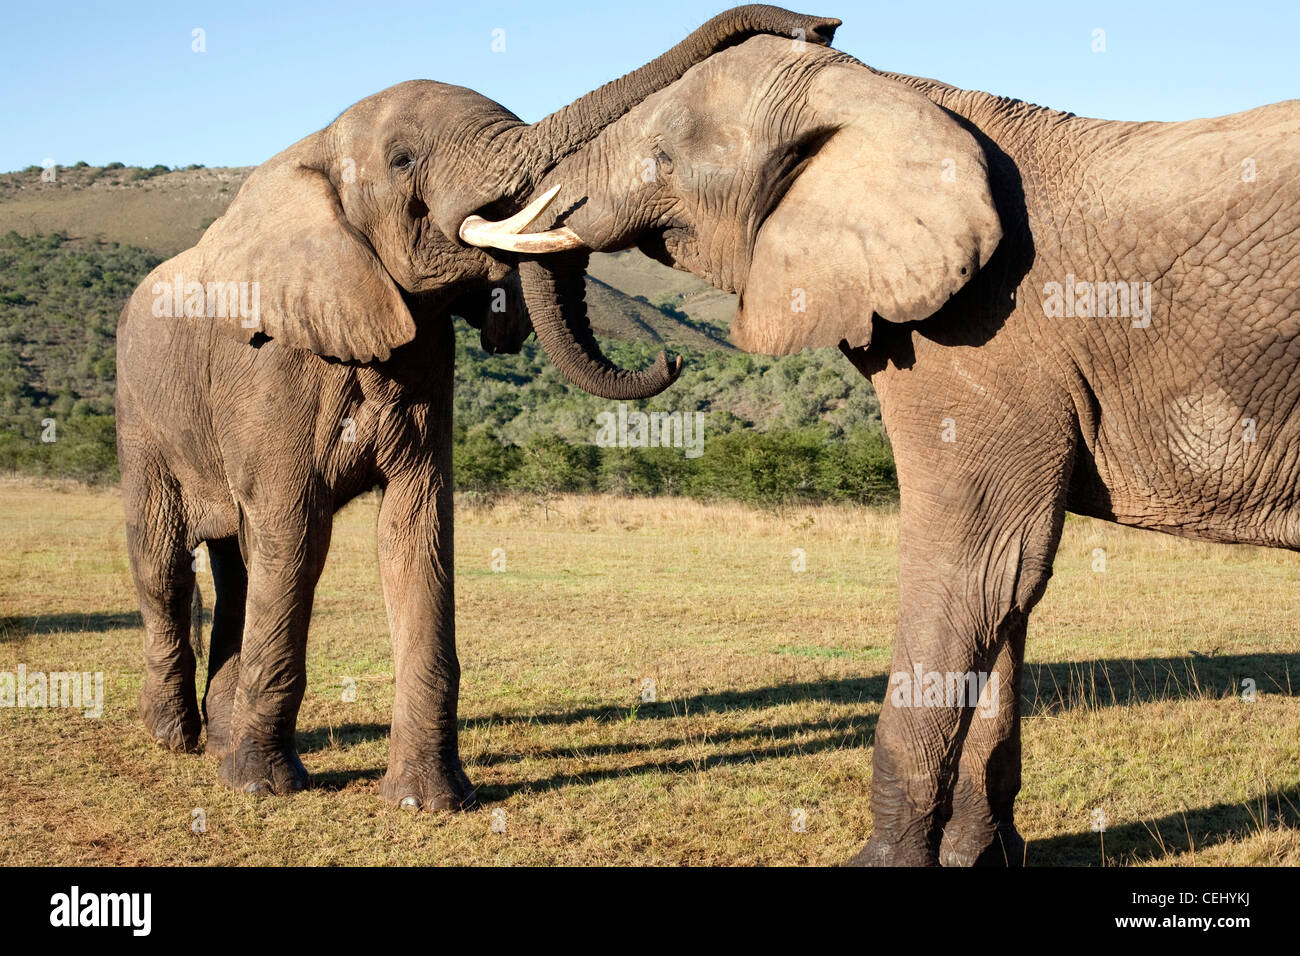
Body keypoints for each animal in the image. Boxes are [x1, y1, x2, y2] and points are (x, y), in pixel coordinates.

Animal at [114, 6, 841, 805]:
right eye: (403, 160)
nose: (822, 27)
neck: (316, 143)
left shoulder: (427, 358)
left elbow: (417, 532)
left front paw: (429, 800)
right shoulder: (276, 365)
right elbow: (293, 533)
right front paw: (262, 788)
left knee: (235, 566)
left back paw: (214, 740)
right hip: (138, 412)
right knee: (165, 561)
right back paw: (175, 739)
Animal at [462, 29, 1299, 864]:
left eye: (661, 158)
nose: (669, 360)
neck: (897, 94)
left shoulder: (985, 334)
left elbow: (974, 569)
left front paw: (884, 863)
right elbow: (1009, 591)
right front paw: (977, 857)